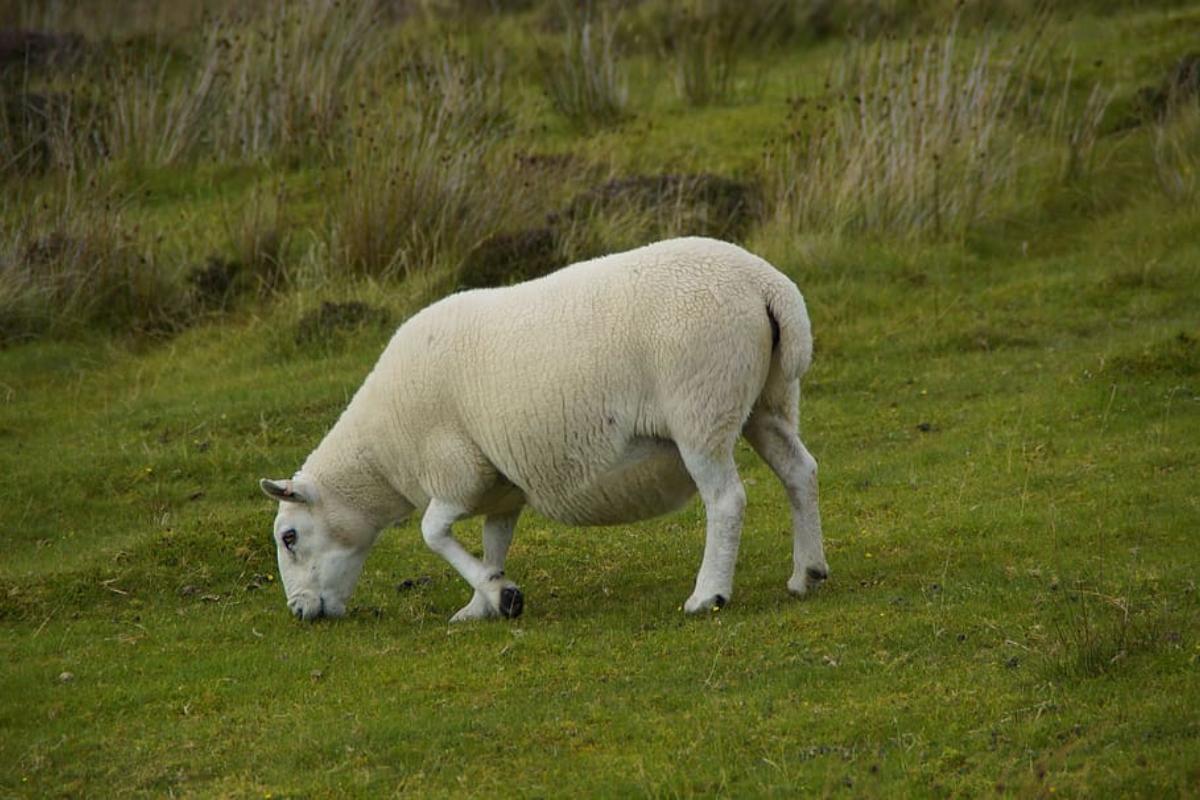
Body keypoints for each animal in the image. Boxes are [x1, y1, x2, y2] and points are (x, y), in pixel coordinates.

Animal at [260, 236, 827, 622]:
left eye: (290, 537)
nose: (299, 612)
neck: (381, 452)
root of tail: (767, 285)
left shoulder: (455, 470)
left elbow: (432, 532)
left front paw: (502, 595)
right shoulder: (499, 482)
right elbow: (494, 540)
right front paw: (482, 601)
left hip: (700, 408)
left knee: (726, 499)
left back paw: (708, 594)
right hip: (766, 401)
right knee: (799, 472)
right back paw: (808, 573)